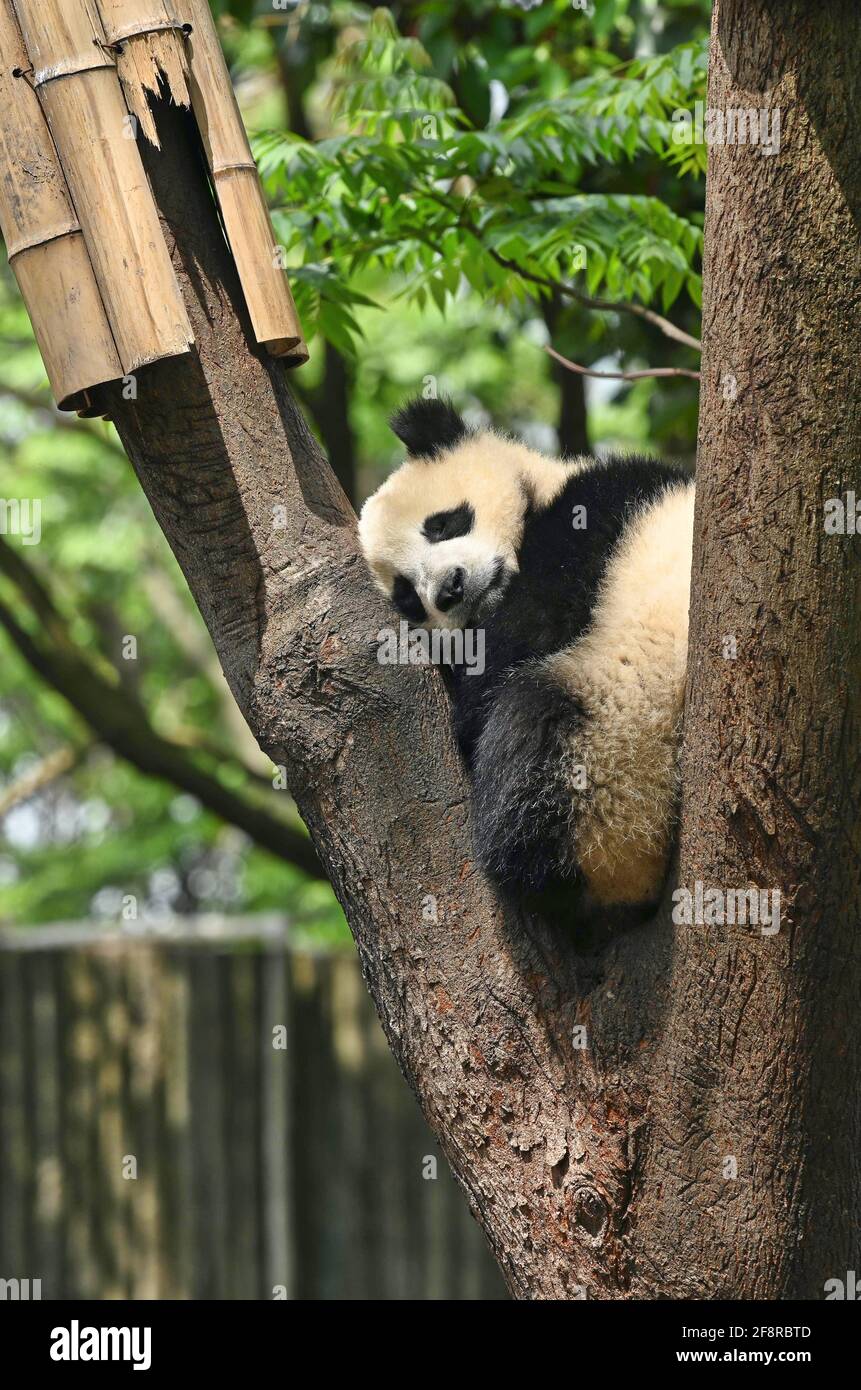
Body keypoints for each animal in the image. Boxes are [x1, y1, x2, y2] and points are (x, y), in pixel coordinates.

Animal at [358, 397, 695, 909]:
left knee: (532, 724)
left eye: (441, 524)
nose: (451, 589)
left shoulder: (603, 506)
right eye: (408, 599)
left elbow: (527, 629)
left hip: (616, 742)